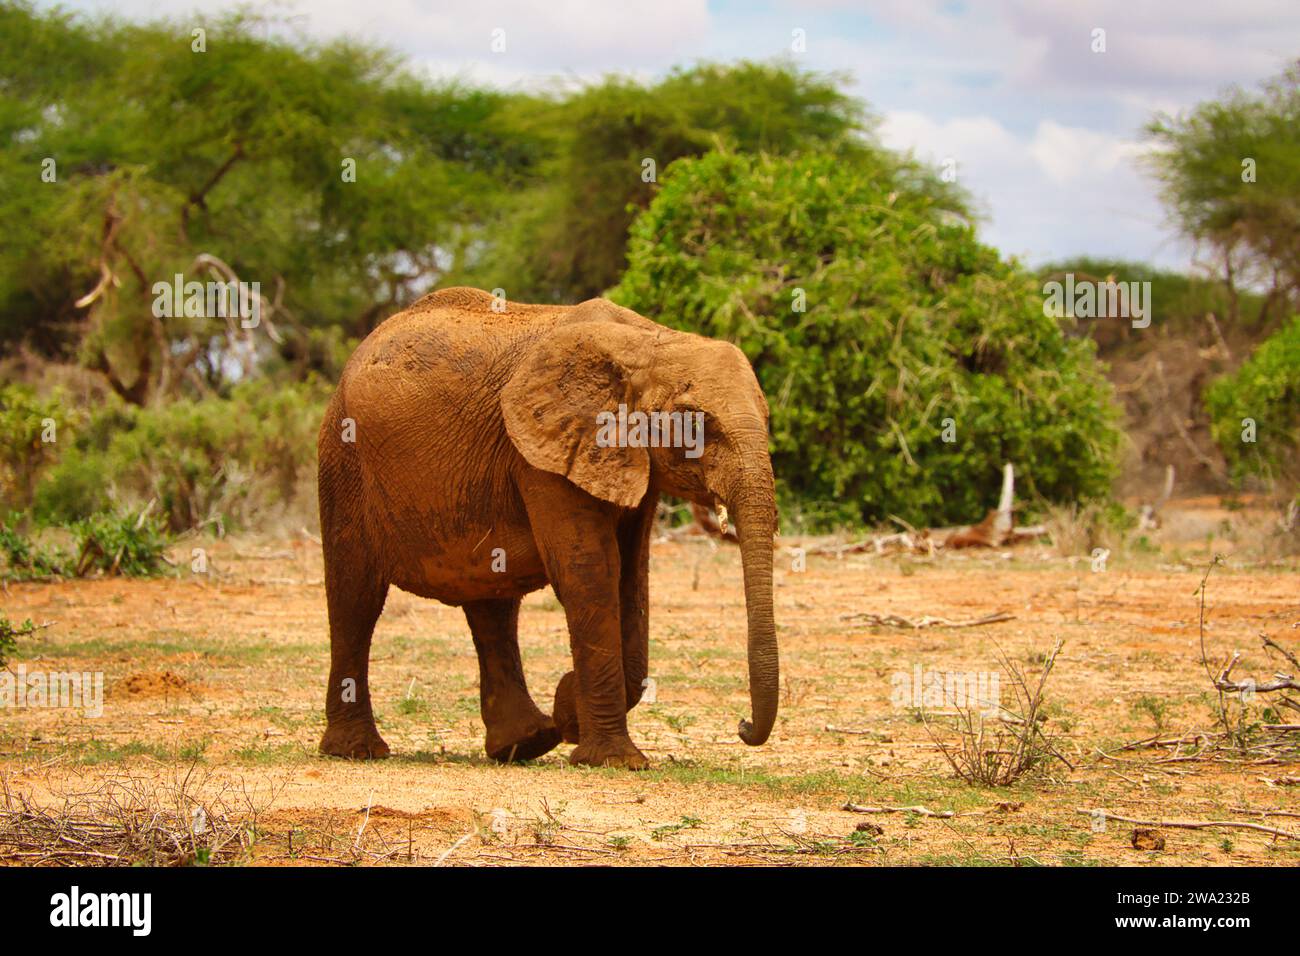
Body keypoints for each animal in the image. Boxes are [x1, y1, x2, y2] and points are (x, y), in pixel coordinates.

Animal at [317, 287, 778, 769]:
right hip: (343, 457)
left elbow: (631, 580)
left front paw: (568, 711)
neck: (650, 343)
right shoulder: (542, 455)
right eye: (697, 423)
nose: (743, 725)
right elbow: (590, 573)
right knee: (356, 596)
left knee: (492, 604)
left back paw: (525, 743)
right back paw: (357, 752)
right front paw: (609, 756)